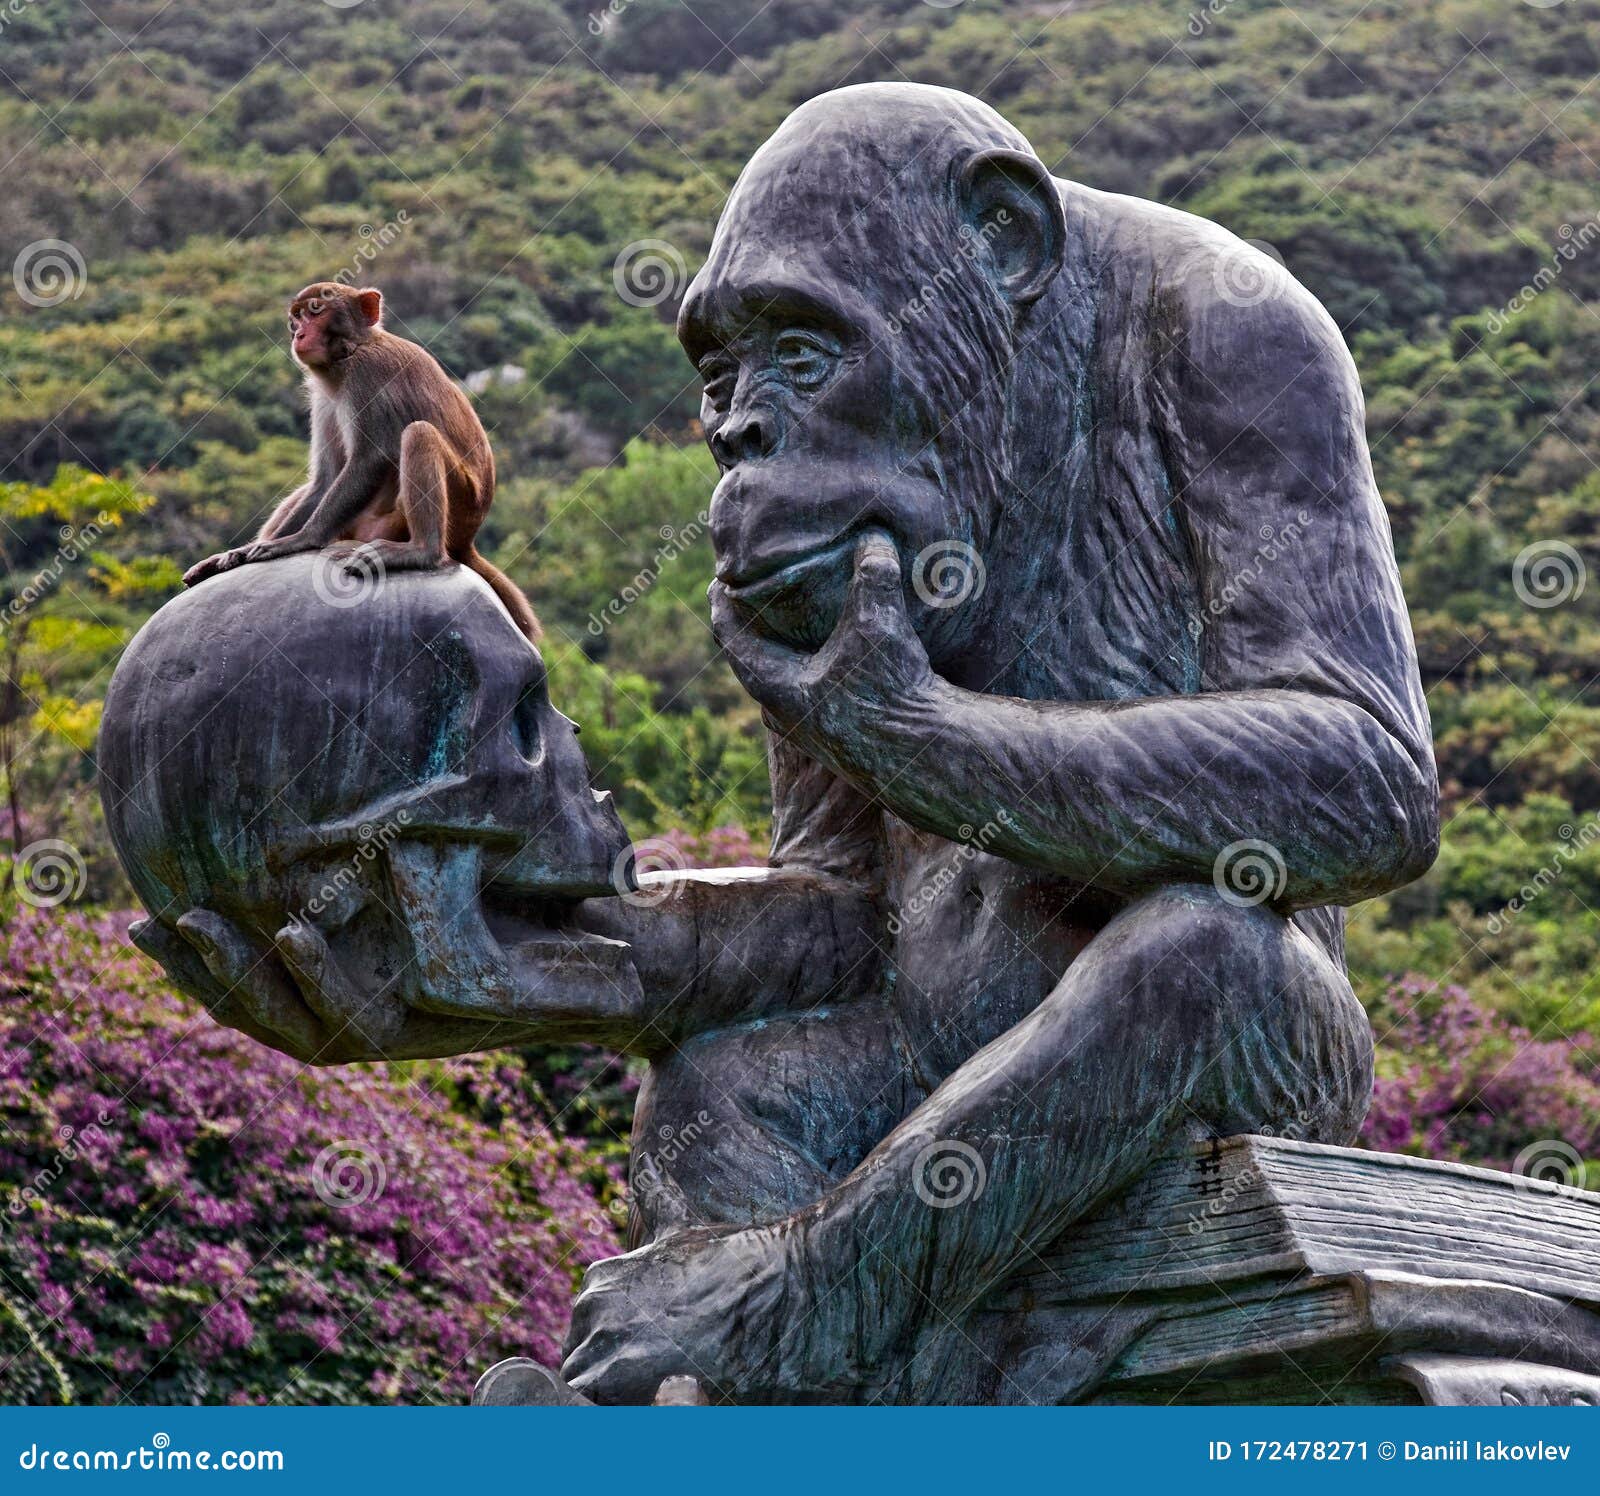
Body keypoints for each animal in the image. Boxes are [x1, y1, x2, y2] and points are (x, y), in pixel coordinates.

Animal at [182, 282, 540, 642]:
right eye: (296, 316)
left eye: (315, 310)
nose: (297, 333)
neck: (349, 354)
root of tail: (467, 539)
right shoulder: (322, 395)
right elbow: (325, 479)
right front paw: (246, 551)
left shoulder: (368, 375)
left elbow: (368, 460)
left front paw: (300, 540)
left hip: (453, 506)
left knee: (419, 434)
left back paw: (421, 551)